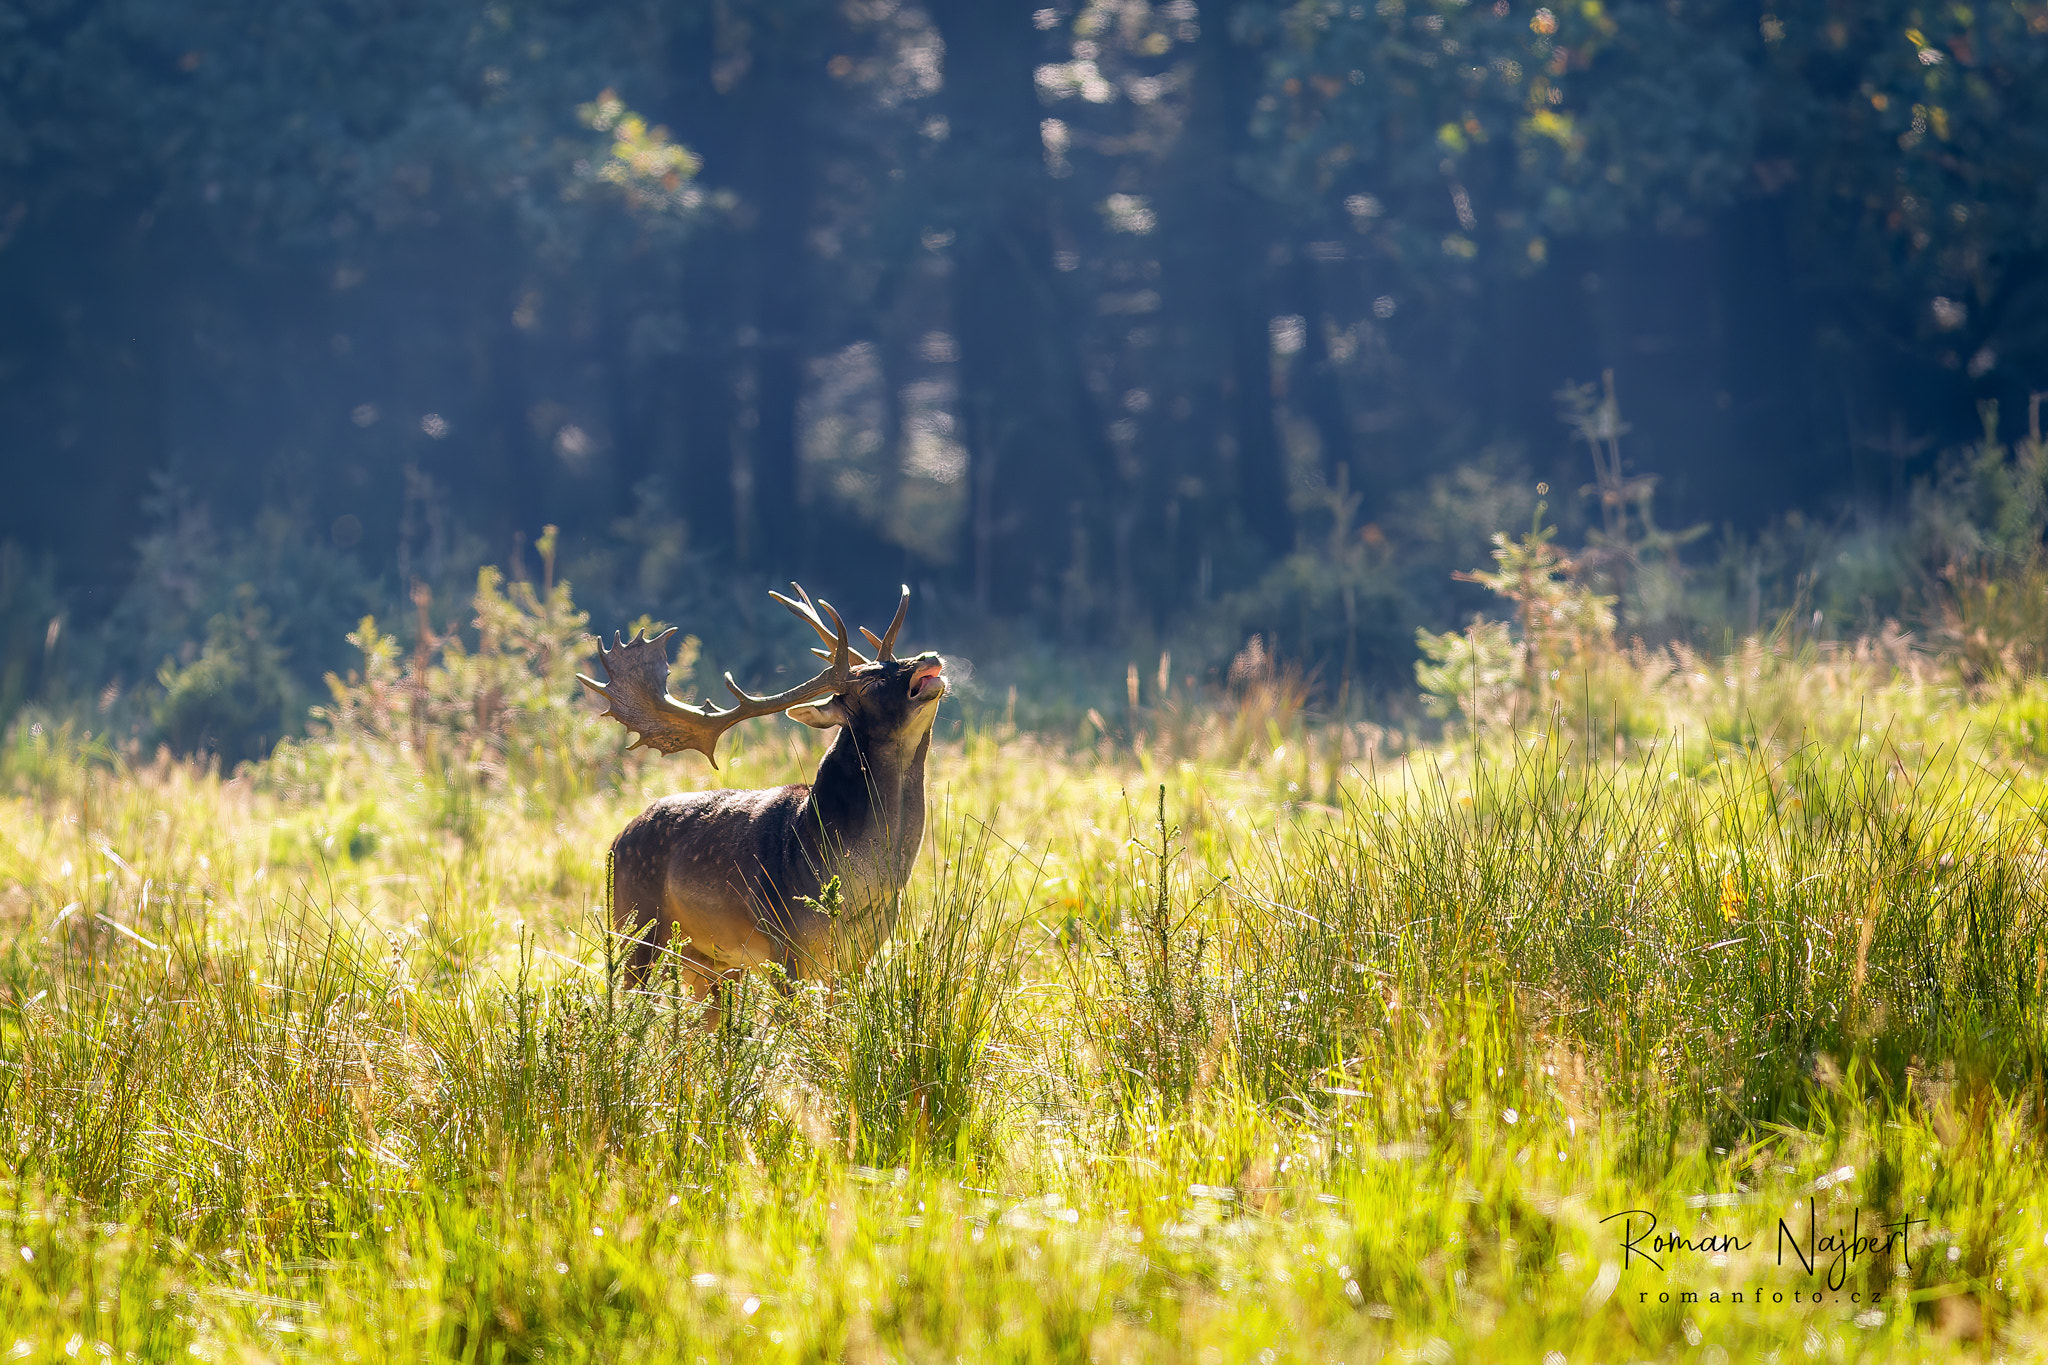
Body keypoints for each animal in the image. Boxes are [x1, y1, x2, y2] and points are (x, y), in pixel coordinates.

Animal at [577, 583, 947, 1014]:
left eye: (895, 660)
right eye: (869, 683)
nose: (927, 657)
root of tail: (616, 839)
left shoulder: (858, 956)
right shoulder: (783, 944)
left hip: (710, 960)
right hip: (637, 927)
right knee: (629, 1001)